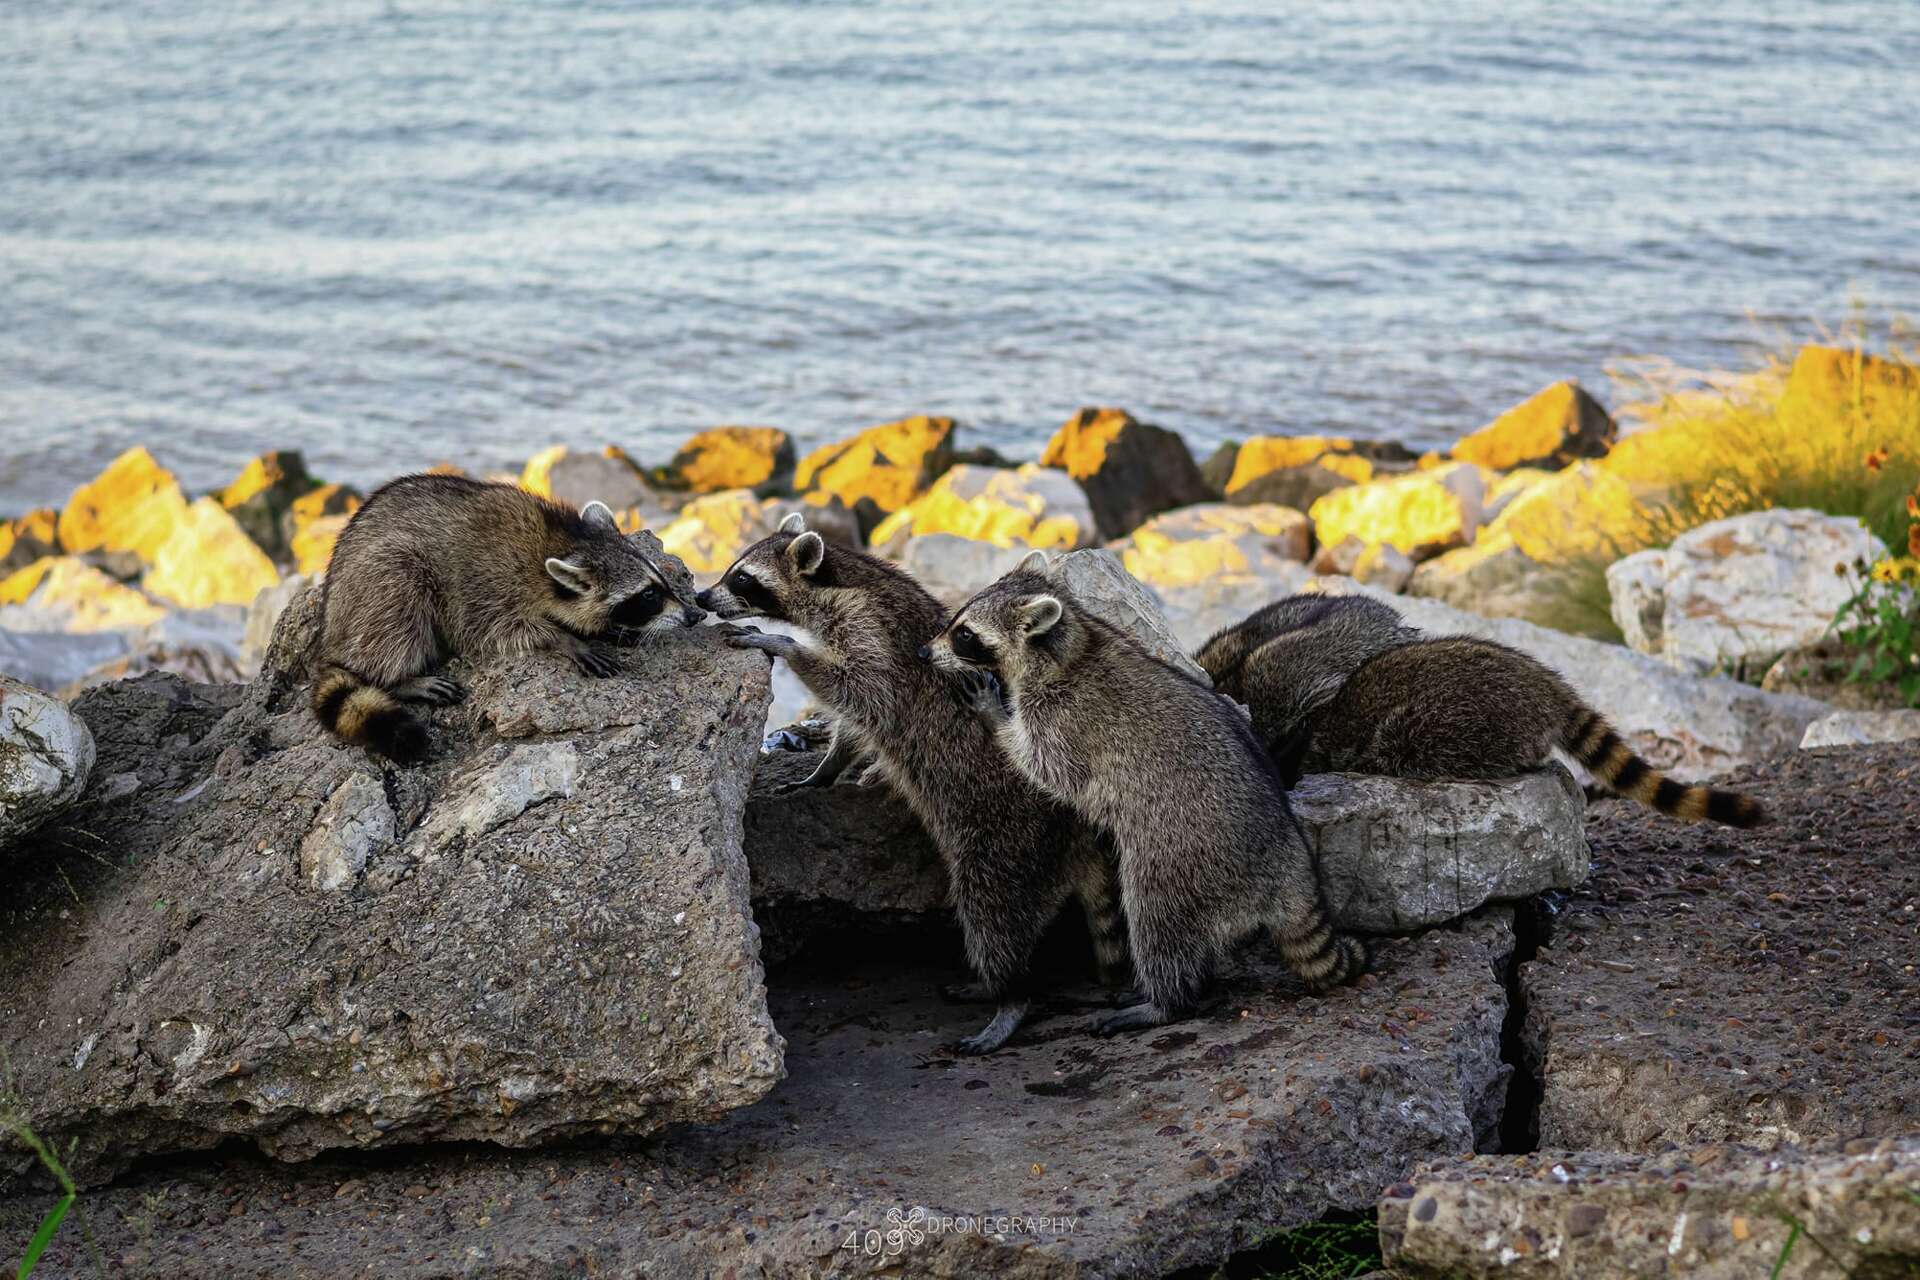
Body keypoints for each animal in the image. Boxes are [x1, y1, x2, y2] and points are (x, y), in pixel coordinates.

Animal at [312, 474, 701, 764]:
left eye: (660, 581)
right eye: (648, 596)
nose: (693, 615)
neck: (561, 540)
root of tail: (330, 633)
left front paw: (609, 629)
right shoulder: (483, 586)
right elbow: (497, 630)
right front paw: (563, 637)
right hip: (378, 586)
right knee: (398, 598)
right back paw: (401, 678)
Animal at [697, 514, 1124, 1055]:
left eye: (742, 578)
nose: (701, 597)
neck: (841, 584)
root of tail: (1077, 835)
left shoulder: (873, 637)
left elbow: (857, 688)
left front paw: (783, 645)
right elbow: (856, 722)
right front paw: (827, 767)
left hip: (1005, 842)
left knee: (993, 910)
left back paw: (1010, 996)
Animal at [925, 557, 1367, 1037]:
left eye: (965, 634)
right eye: (956, 620)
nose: (924, 652)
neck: (1074, 641)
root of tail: (1287, 862)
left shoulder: (1065, 720)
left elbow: (1047, 768)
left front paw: (996, 717)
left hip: (1183, 858)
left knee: (1158, 922)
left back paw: (1163, 1002)